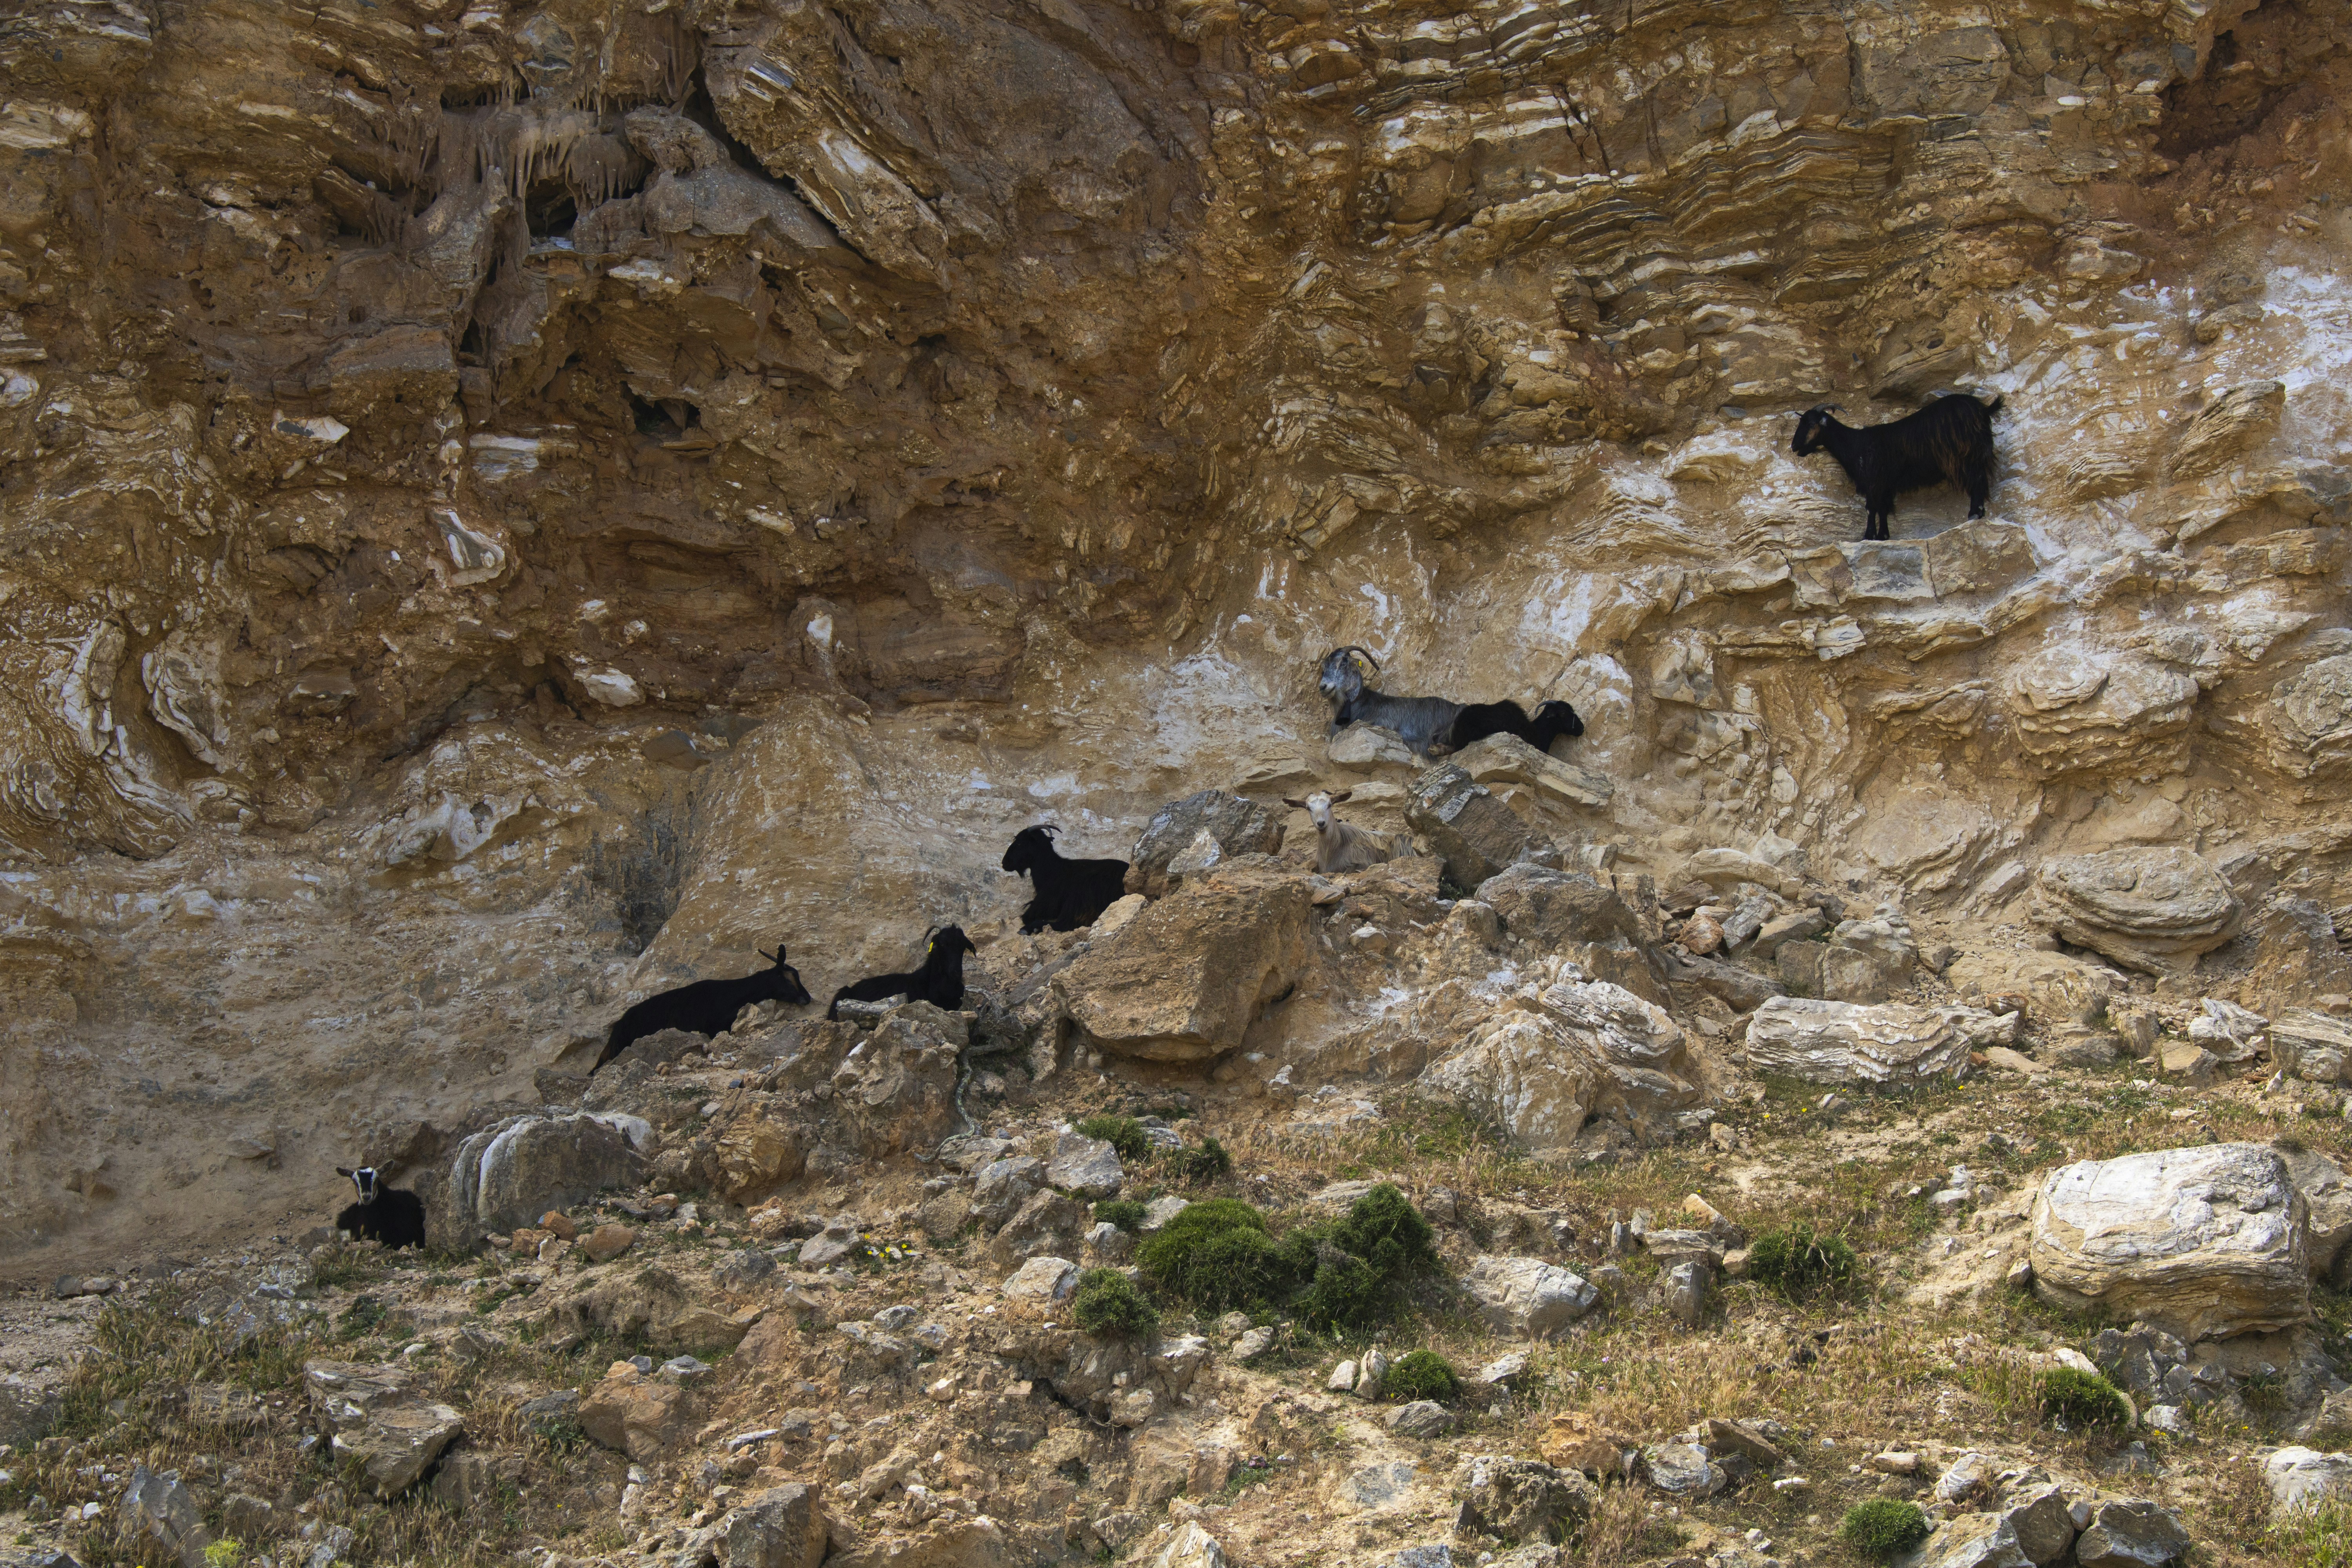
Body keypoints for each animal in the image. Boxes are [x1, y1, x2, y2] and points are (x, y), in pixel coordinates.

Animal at [1002, 825, 1129, 934]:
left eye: (1020, 843)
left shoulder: (1045, 903)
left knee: (1067, 924)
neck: (1053, 872)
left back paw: (1030, 929)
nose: (1004, 863)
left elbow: (1026, 917)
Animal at [1317, 647, 1462, 758]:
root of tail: (1458, 707)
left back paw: (1436, 749)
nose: (1323, 687)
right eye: (1324, 668)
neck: (1359, 703)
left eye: (1343, 663)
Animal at [1791, 393, 2004, 541]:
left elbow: (1871, 508)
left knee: (1977, 479)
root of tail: (1983, 410)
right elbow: (1883, 509)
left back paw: (1974, 513)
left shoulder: (1873, 481)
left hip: (1965, 455)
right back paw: (1979, 512)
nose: (1794, 447)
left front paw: (1868, 536)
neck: (1855, 444)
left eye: (1810, 423)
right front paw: (1883, 536)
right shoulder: (1885, 486)